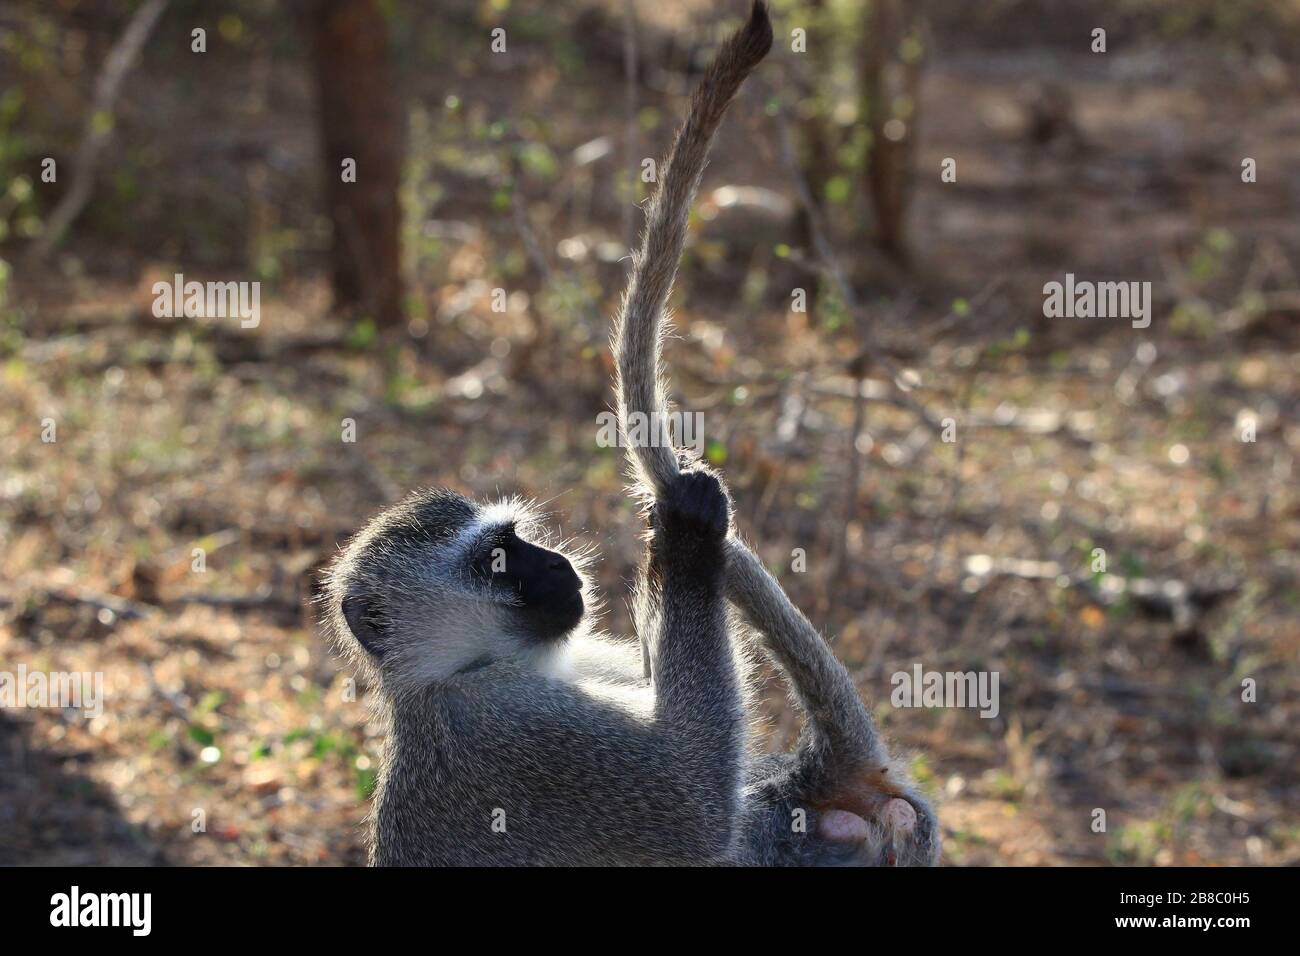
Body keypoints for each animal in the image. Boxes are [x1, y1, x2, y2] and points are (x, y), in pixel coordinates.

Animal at [323, 1, 939, 866]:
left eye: (515, 538)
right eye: (497, 562)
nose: (556, 567)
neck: (465, 671)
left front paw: (664, 547)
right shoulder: (514, 738)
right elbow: (690, 799)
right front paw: (684, 541)